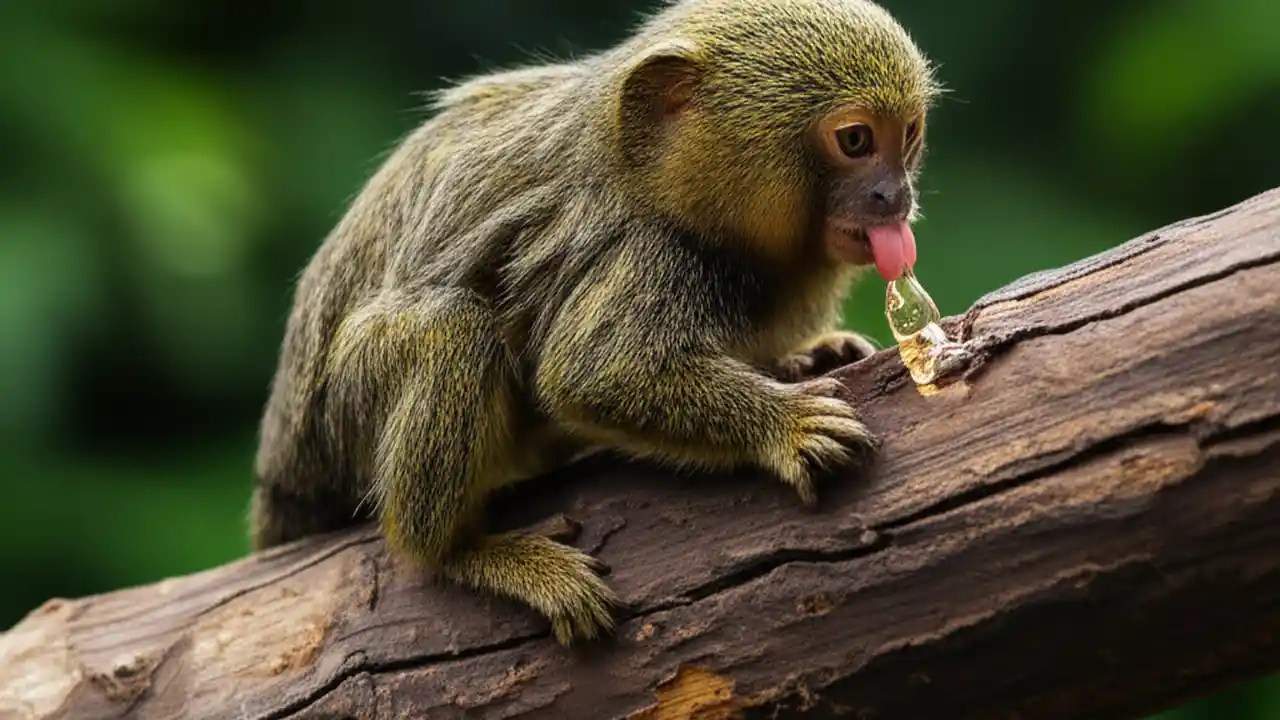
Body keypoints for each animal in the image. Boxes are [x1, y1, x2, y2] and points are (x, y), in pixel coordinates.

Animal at [251, 0, 937, 645]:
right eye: (855, 141)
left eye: (907, 136)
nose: (894, 195)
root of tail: (285, 464)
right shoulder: (642, 246)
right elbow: (591, 376)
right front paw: (785, 424)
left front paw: (810, 356)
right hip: (341, 411)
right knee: (451, 331)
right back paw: (461, 551)